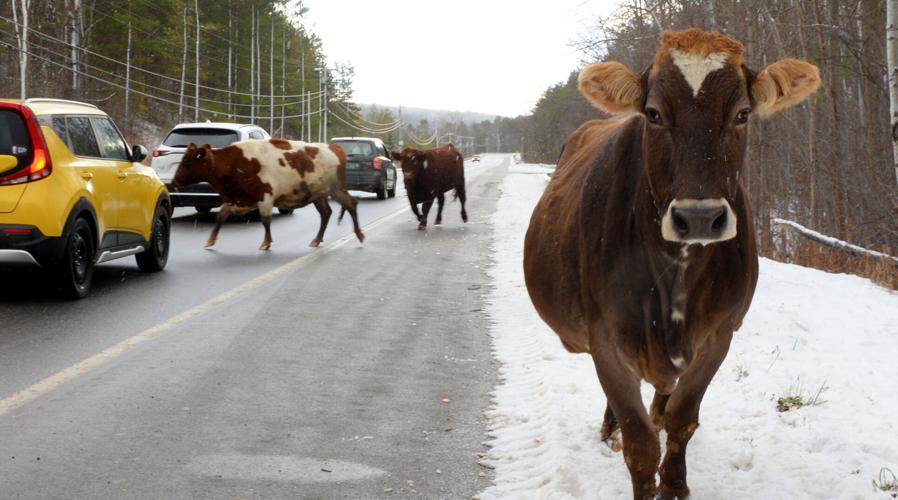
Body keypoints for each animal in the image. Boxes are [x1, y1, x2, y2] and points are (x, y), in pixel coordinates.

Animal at [172, 139, 365, 250]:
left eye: (187, 162)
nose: (175, 180)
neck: (234, 162)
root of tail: (335, 147)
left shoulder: (265, 197)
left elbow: (266, 220)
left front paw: (266, 243)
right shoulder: (238, 199)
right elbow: (221, 216)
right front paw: (211, 240)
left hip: (337, 190)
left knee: (351, 204)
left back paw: (359, 235)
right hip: (319, 195)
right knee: (326, 213)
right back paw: (317, 240)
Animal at [523, 28, 820, 499]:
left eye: (741, 113)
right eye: (653, 113)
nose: (699, 217)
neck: (675, 276)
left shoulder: (719, 334)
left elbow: (682, 418)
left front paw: (675, 482)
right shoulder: (606, 339)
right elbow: (640, 445)